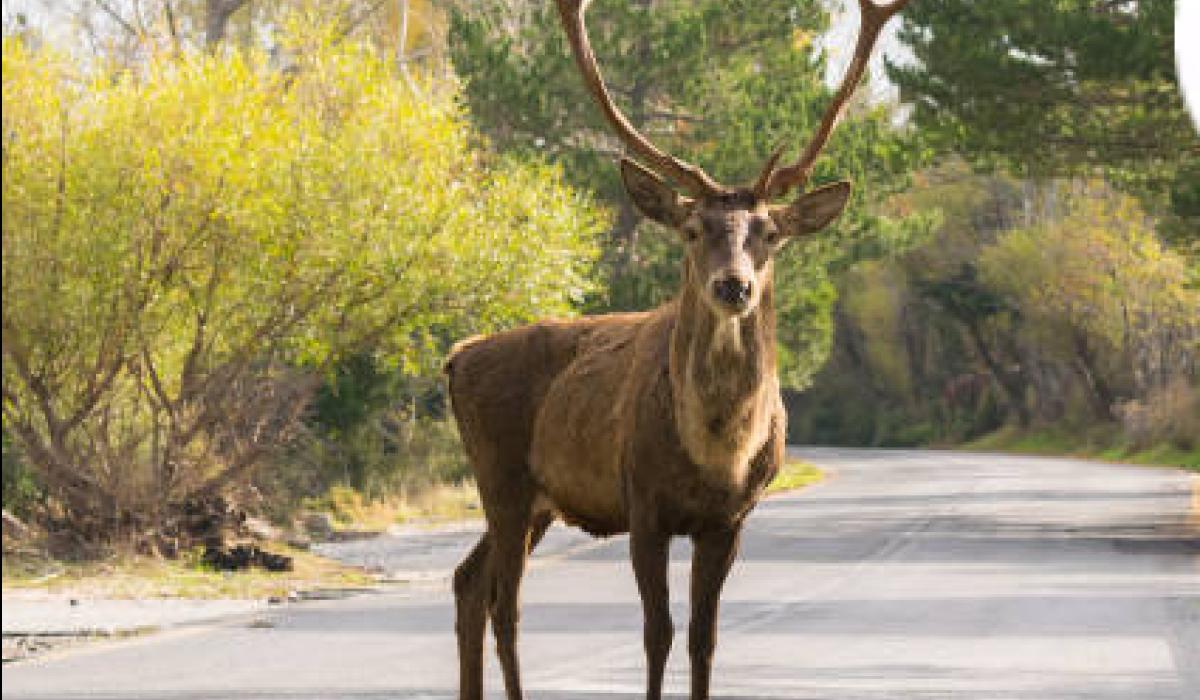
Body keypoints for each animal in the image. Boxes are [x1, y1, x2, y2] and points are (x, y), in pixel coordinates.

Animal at [443, 1, 912, 698]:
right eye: (693, 229)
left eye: (770, 233)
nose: (733, 285)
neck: (716, 455)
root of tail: (457, 357)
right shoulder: (643, 504)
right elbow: (657, 633)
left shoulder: (731, 520)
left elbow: (704, 638)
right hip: (499, 474)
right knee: (506, 604)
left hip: (539, 499)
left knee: (469, 581)